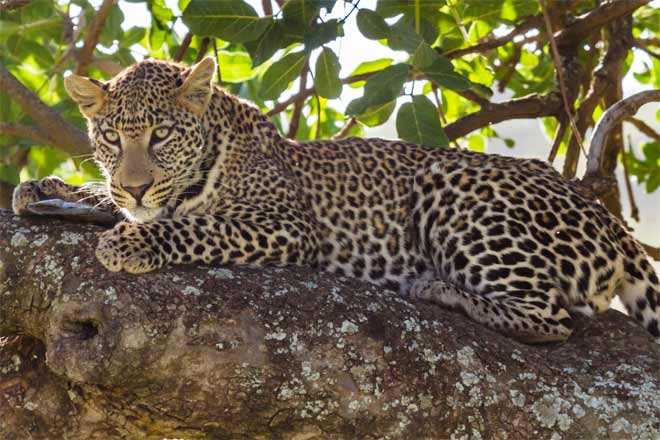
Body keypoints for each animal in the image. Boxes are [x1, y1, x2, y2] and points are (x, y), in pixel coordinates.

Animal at [12, 57, 660, 343]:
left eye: (161, 135)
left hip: (452, 185)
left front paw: (129, 241)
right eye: (111, 137)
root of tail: (610, 221)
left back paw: (438, 289)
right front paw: (49, 188)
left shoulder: (285, 224)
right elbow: (119, 199)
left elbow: (194, 226)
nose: (136, 185)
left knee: (553, 320)